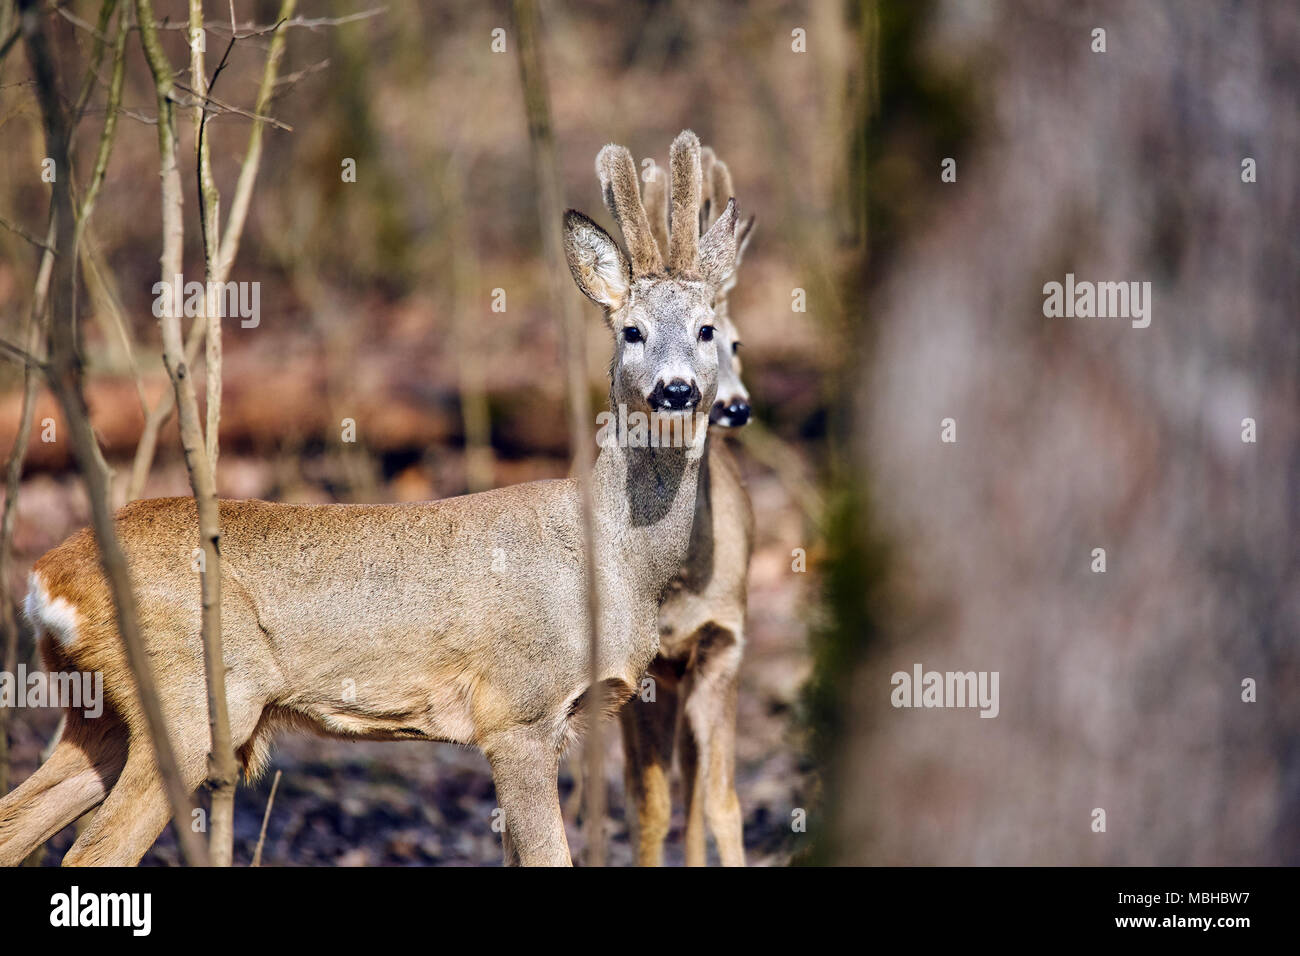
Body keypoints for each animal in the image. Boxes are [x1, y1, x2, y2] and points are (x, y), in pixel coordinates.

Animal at [0, 129, 739, 867]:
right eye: (632, 331)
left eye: (708, 330)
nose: (676, 390)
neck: (614, 560)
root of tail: (47, 579)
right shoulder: (517, 710)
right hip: (187, 702)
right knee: (91, 852)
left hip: (97, 712)